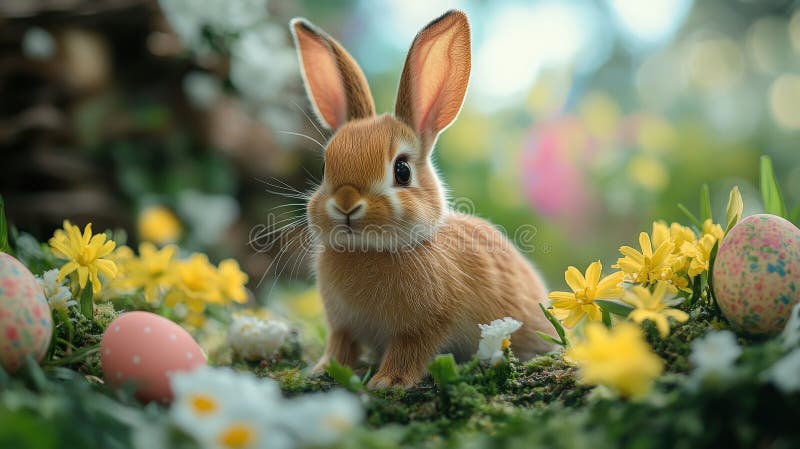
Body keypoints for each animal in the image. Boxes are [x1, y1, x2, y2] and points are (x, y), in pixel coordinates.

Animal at [289, 10, 556, 389]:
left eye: (402, 170)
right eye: (326, 166)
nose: (345, 204)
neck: (369, 250)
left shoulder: (423, 328)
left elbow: (409, 350)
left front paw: (387, 382)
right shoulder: (342, 325)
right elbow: (340, 346)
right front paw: (321, 370)